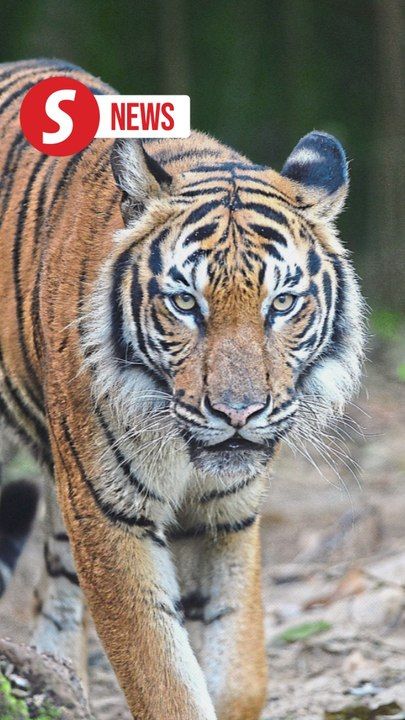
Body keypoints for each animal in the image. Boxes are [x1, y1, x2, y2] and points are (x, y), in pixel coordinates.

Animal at [0, 59, 365, 720]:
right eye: (185, 304)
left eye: (282, 304)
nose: (239, 413)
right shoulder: (110, 517)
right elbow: (163, 677)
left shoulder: (229, 517)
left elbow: (238, 671)